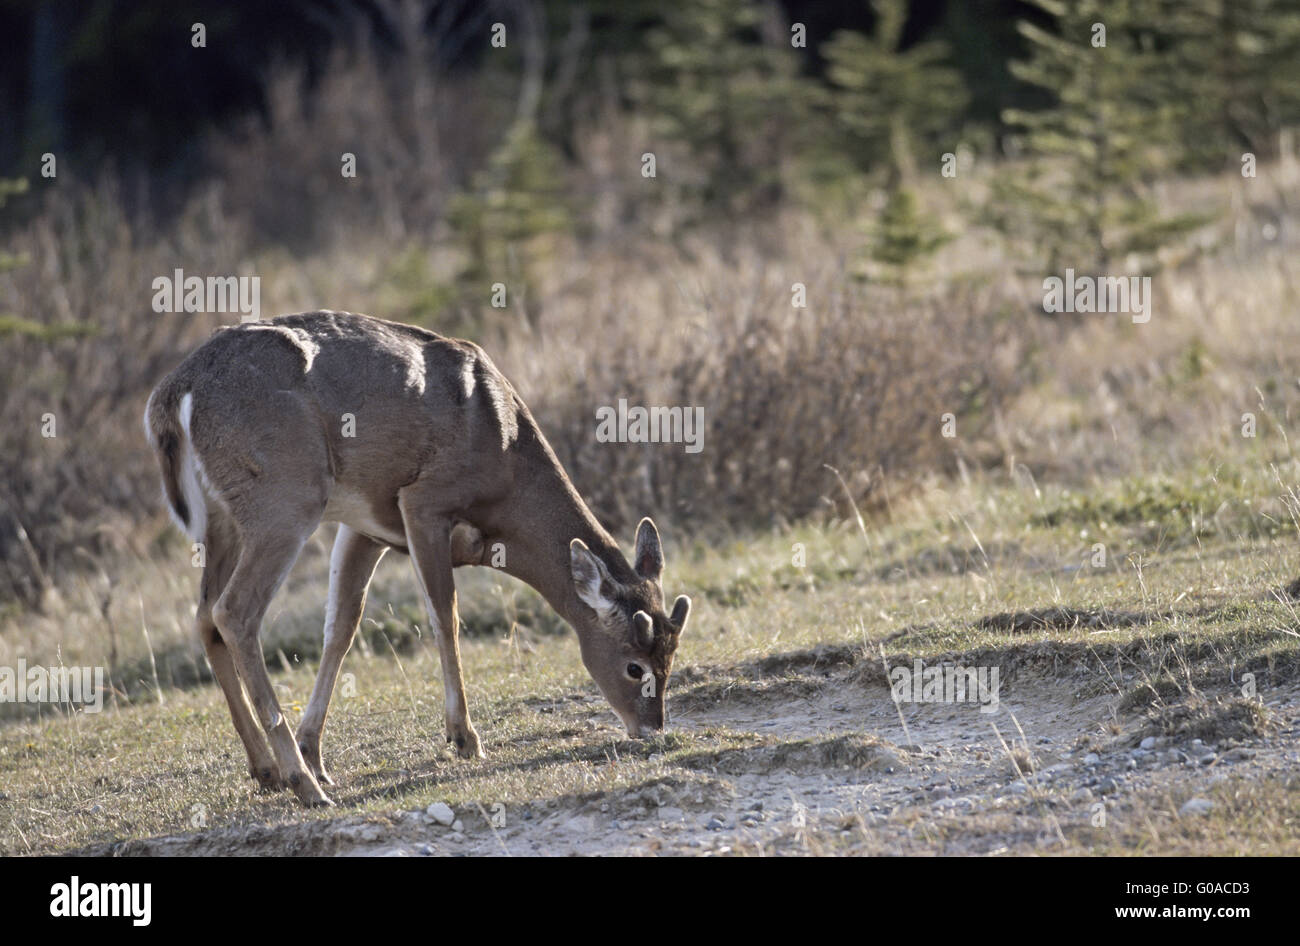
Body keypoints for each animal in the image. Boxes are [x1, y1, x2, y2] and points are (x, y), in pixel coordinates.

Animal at [144, 310, 691, 807]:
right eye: (635, 667)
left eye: (671, 655)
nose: (652, 729)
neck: (507, 462)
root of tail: (174, 393)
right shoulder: (424, 502)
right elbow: (444, 614)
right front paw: (464, 738)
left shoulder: (364, 527)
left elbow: (341, 626)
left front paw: (316, 753)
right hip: (286, 496)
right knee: (235, 611)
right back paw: (302, 786)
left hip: (223, 520)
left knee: (205, 616)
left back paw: (269, 770)